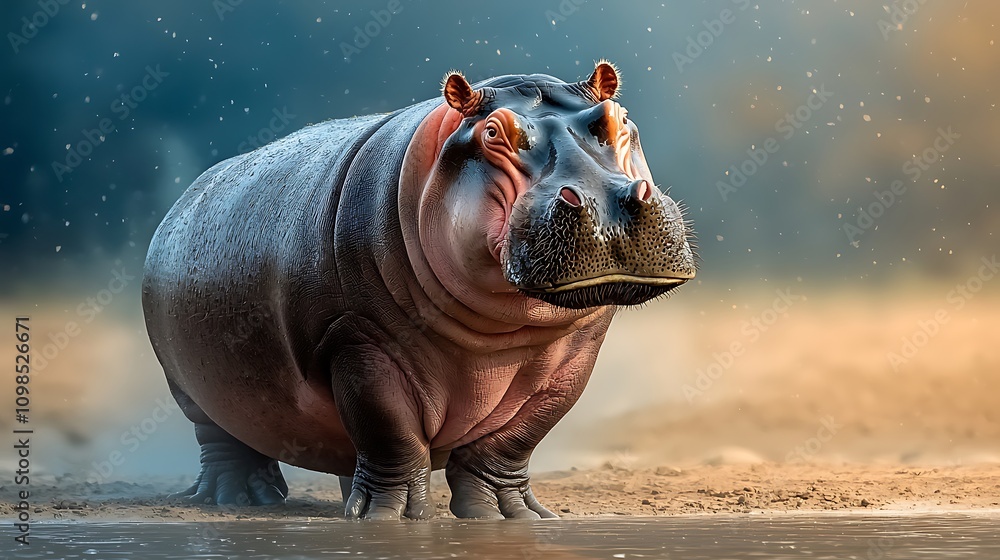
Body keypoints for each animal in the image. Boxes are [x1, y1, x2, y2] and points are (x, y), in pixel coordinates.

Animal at [142, 61, 695, 520]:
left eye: (618, 117)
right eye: (492, 132)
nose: (606, 204)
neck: (498, 336)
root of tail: (185, 196)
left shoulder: (575, 357)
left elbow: (516, 439)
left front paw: (510, 516)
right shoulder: (356, 339)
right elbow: (389, 429)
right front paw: (393, 518)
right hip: (189, 386)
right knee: (222, 437)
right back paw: (241, 497)